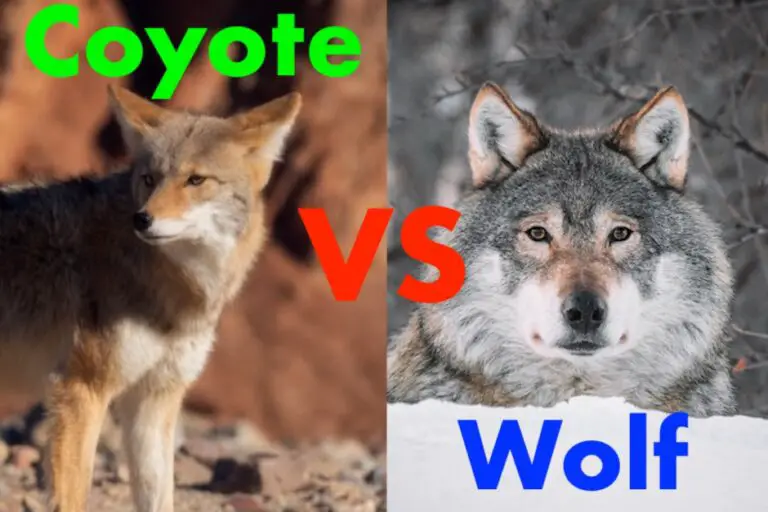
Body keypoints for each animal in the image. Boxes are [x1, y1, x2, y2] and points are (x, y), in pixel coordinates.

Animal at [0, 86, 301, 511]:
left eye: (195, 179)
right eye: (149, 178)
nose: (142, 219)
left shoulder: (154, 399)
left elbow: (159, 495)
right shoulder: (81, 389)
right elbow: (75, 494)